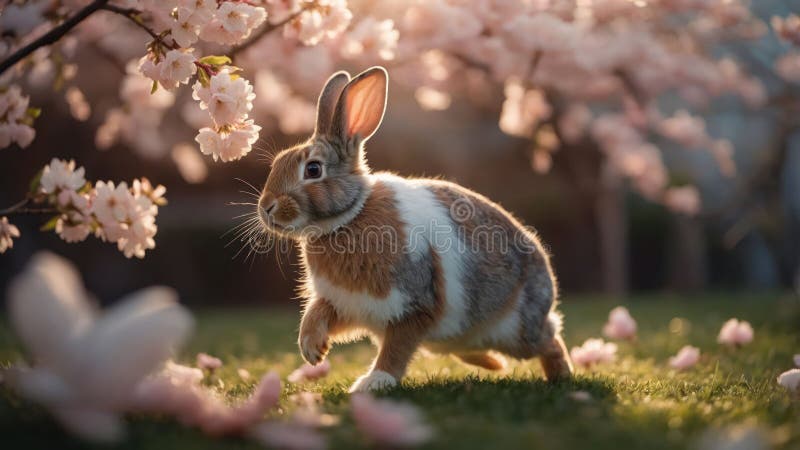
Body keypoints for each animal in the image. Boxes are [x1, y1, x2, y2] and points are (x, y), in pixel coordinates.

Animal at [256, 66, 573, 392]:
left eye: (313, 169)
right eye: (277, 163)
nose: (266, 208)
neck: (348, 218)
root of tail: (547, 281)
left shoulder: (414, 308)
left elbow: (395, 350)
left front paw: (373, 382)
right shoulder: (346, 303)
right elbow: (317, 312)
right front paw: (312, 350)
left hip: (517, 331)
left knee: (550, 339)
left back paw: (562, 376)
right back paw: (494, 363)